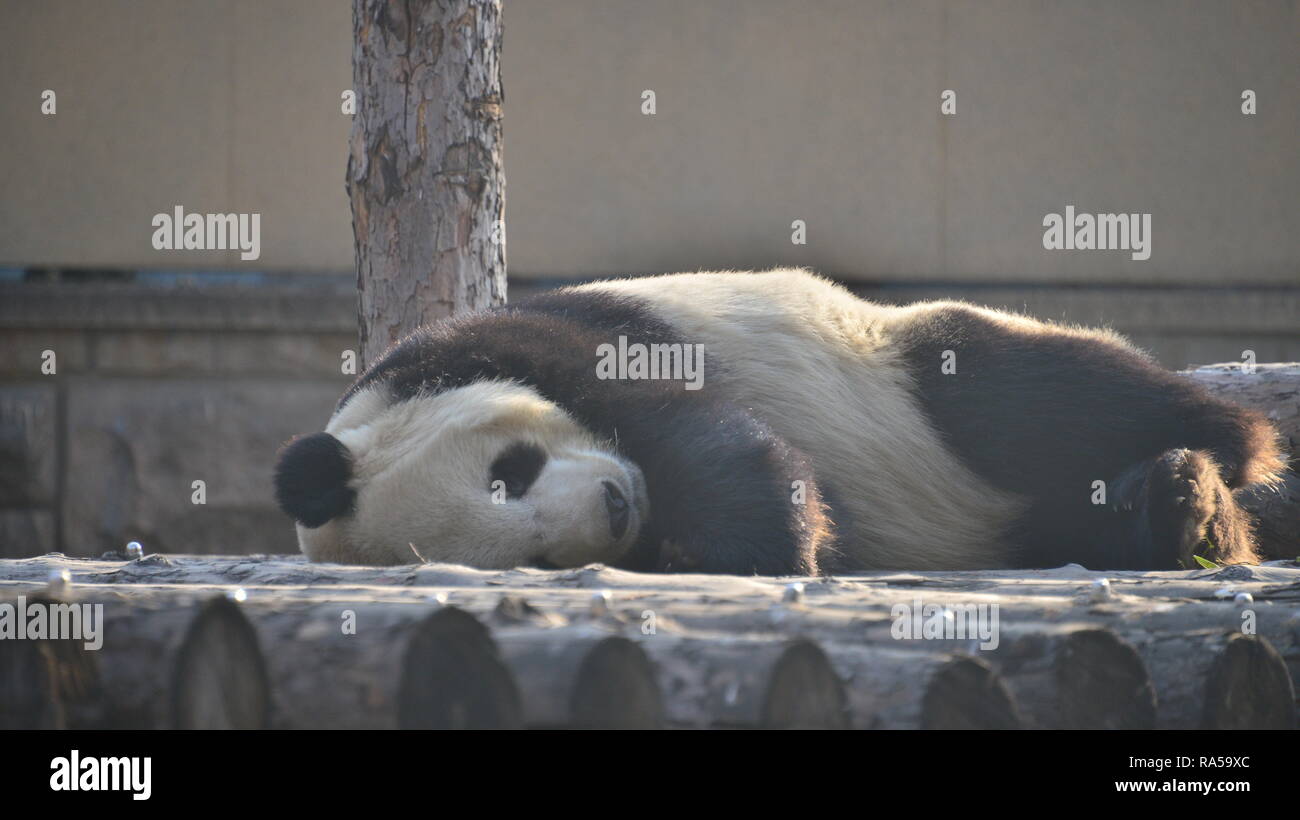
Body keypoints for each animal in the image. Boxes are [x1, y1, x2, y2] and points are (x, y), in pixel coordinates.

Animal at [274, 269, 1285, 575]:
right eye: (540, 558)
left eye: (507, 472)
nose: (613, 507)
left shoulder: (543, 342)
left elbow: (708, 441)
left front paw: (774, 546)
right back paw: (1179, 512)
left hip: (901, 363)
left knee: (1035, 393)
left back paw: (1216, 465)